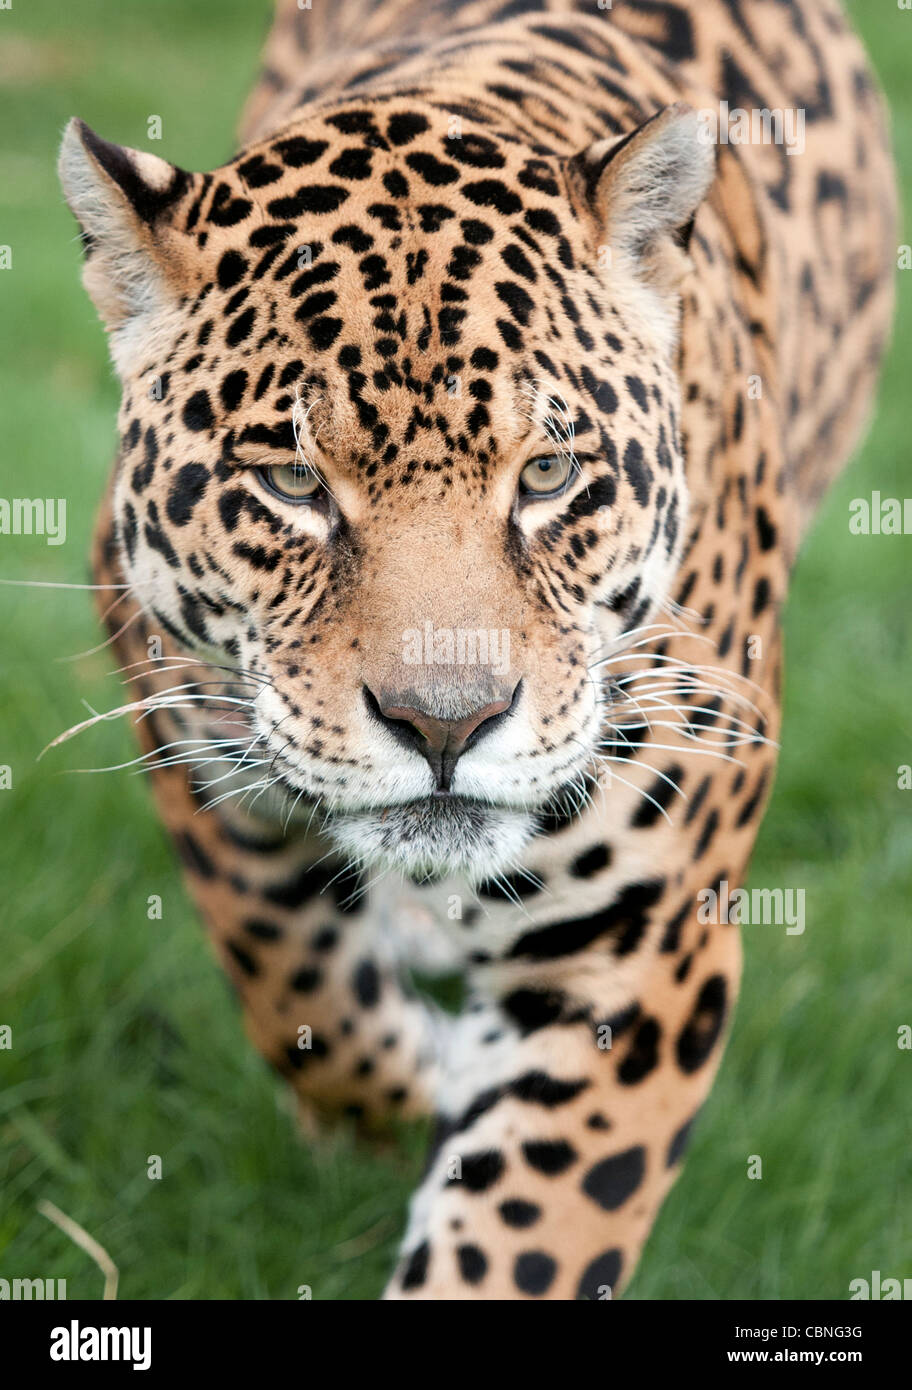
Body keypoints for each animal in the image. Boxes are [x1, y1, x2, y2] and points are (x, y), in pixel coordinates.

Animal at [57, 0, 895, 1300]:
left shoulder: (629, 960)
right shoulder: (174, 700)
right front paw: (413, 1074)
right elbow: (290, 974)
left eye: (548, 473)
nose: (444, 724)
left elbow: (515, 1244)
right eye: (293, 483)